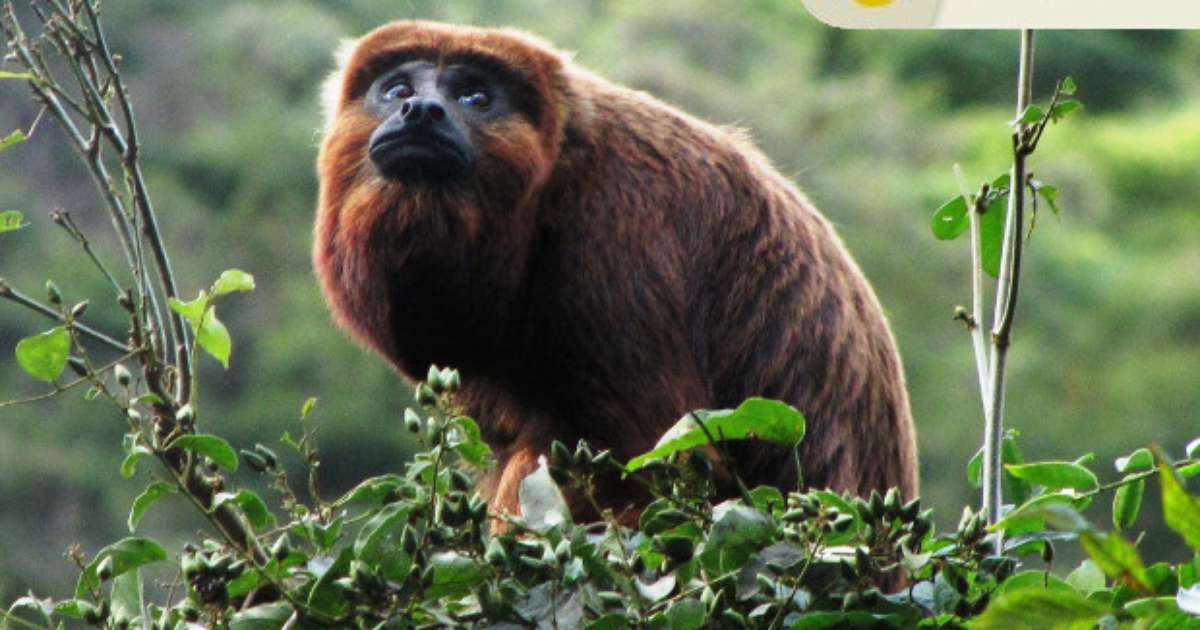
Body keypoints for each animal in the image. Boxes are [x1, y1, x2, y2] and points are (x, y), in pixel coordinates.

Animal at [314, 21, 918, 520]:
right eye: (397, 89)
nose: (421, 110)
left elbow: (654, 467)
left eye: (476, 97)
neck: (551, 187)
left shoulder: (618, 232)